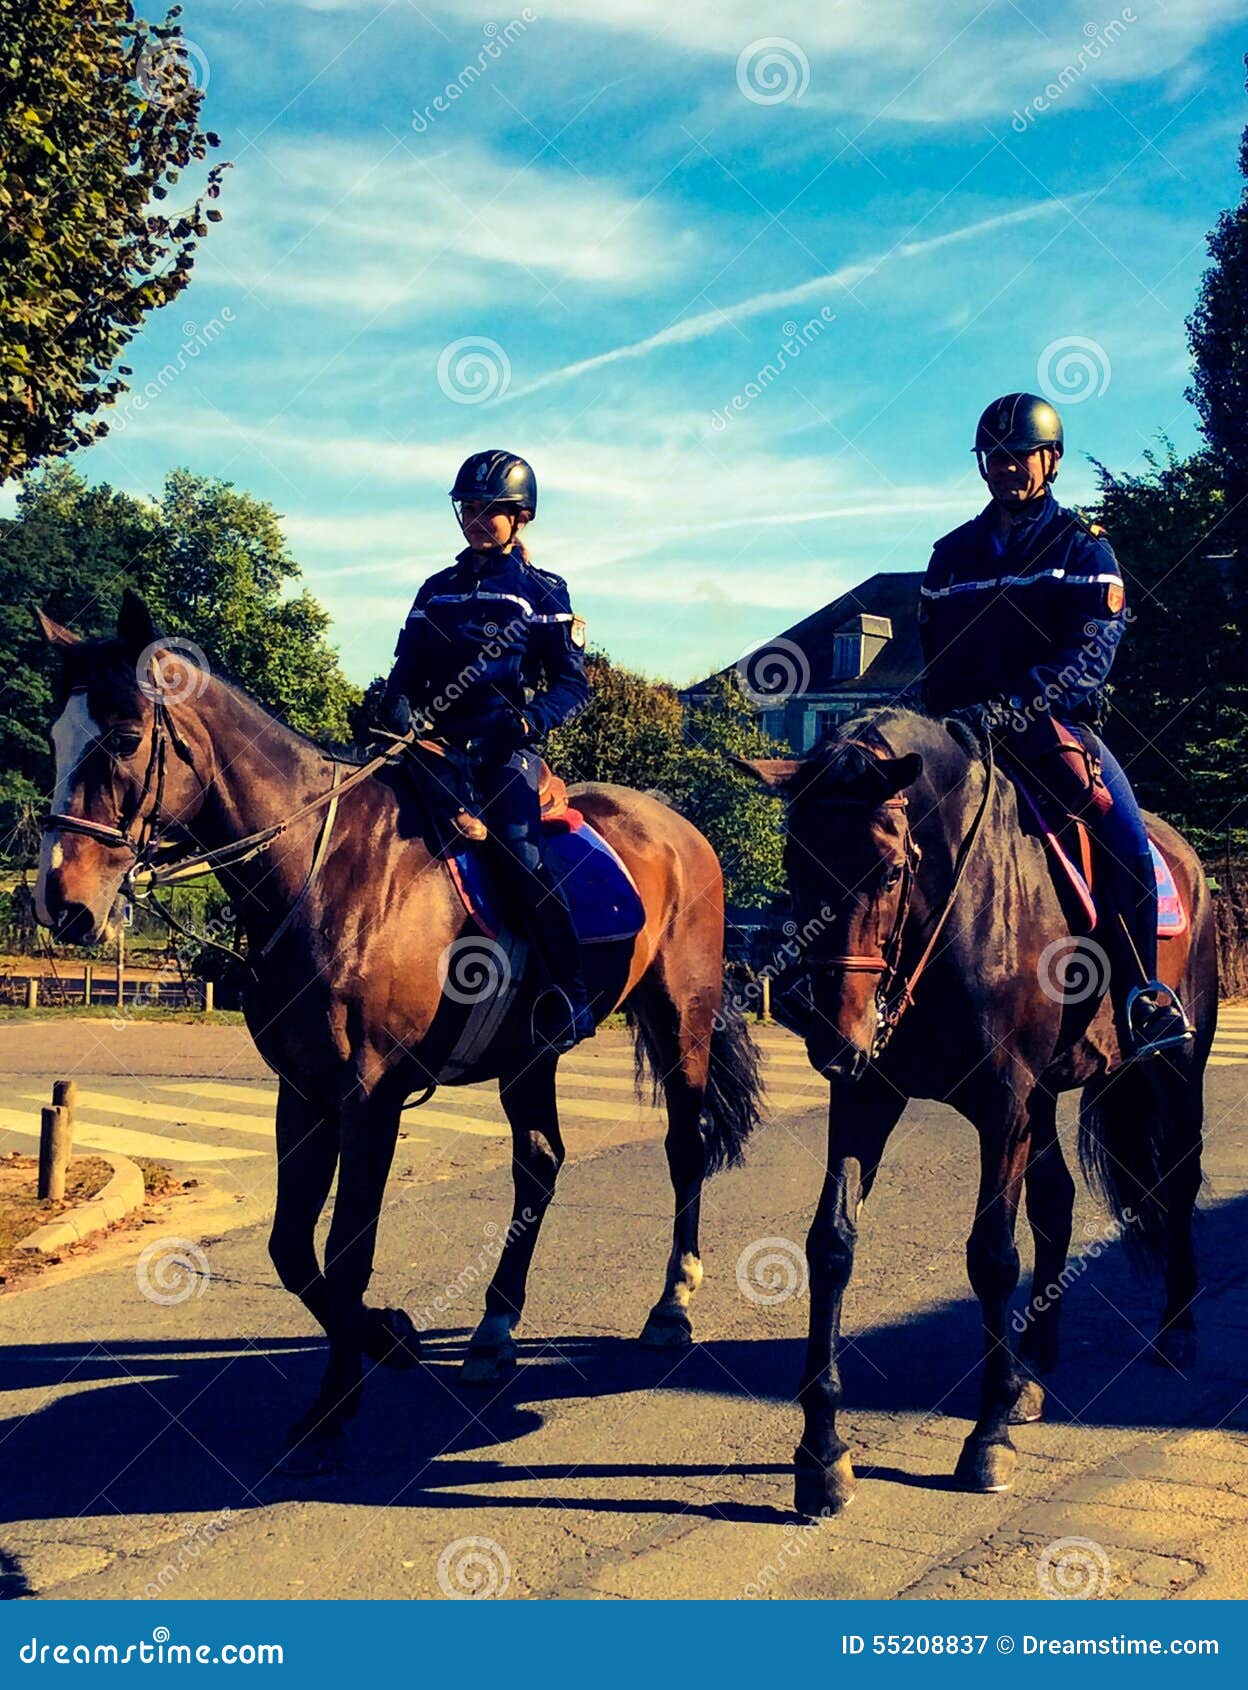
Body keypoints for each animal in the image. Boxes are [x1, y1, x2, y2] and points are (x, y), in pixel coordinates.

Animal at [34, 591, 763, 1462]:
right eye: (52, 738)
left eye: (123, 738)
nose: (59, 903)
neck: (322, 870)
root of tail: (679, 827)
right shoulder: (304, 1092)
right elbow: (291, 1249)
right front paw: (386, 1340)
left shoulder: (369, 1098)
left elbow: (346, 1251)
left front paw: (338, 1401)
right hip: (531, 1056)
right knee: (540, 1163)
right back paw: (493, 1328)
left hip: (680, 1017)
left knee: (685, 1146)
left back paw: (672, 1302)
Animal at [740, 705, 1215, 1518]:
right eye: (797, 865)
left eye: (887, 871)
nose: (830, 1032)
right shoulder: (869, 1095)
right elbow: (831, 1245)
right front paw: (822, 1453)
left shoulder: (1003, 1105)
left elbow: (992, 1254)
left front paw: (987, 1437)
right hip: (1046, 1097)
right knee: (1055, 1204)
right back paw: (1035, 1357)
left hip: (1175, 1068)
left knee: (1176, 1185)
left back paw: (1178, 1332)